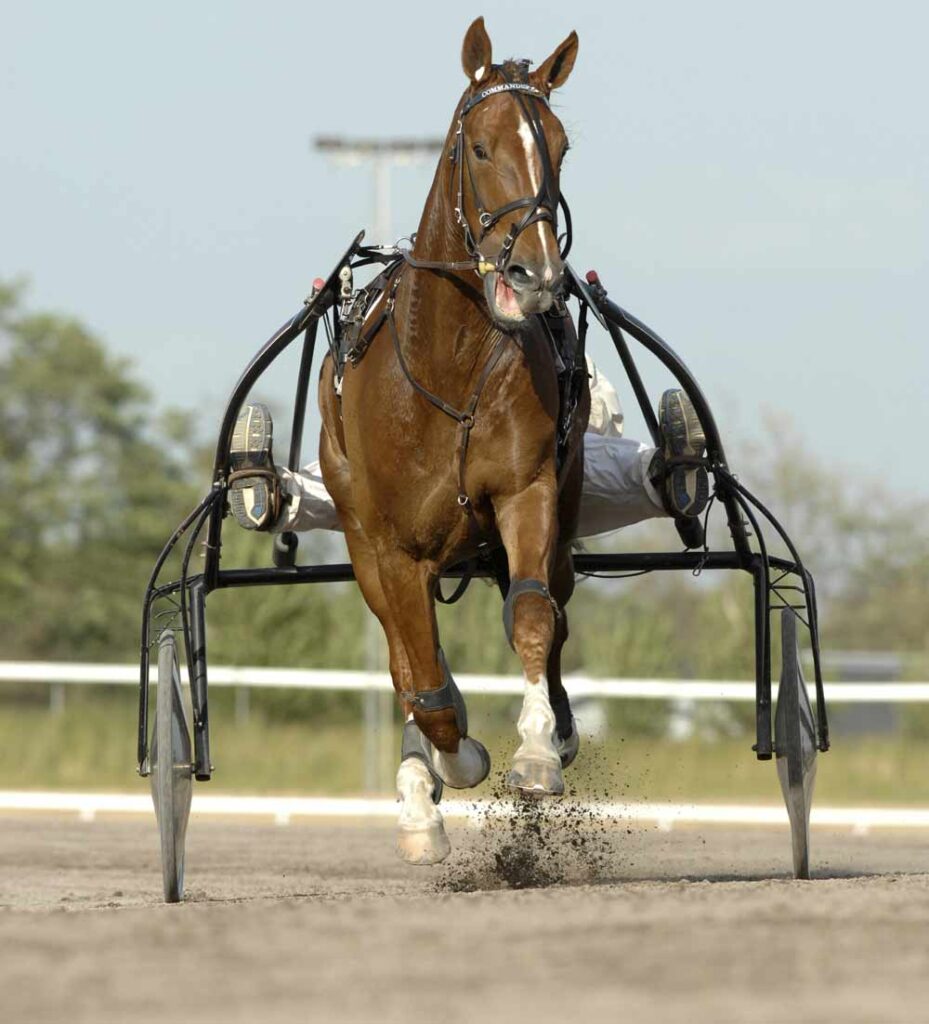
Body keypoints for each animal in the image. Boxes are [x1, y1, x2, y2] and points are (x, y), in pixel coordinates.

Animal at [319, 17, 589, 865]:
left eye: (559, 145)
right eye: (479, 146)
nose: (536, 273)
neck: (450, 362)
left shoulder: (528, 490)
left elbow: (532, 615)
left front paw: (537, 752)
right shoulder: (390, 546)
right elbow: (427, 688)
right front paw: (447, 765)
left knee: (547, 607)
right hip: (363, 541)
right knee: (408, 662)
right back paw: (423, 786)